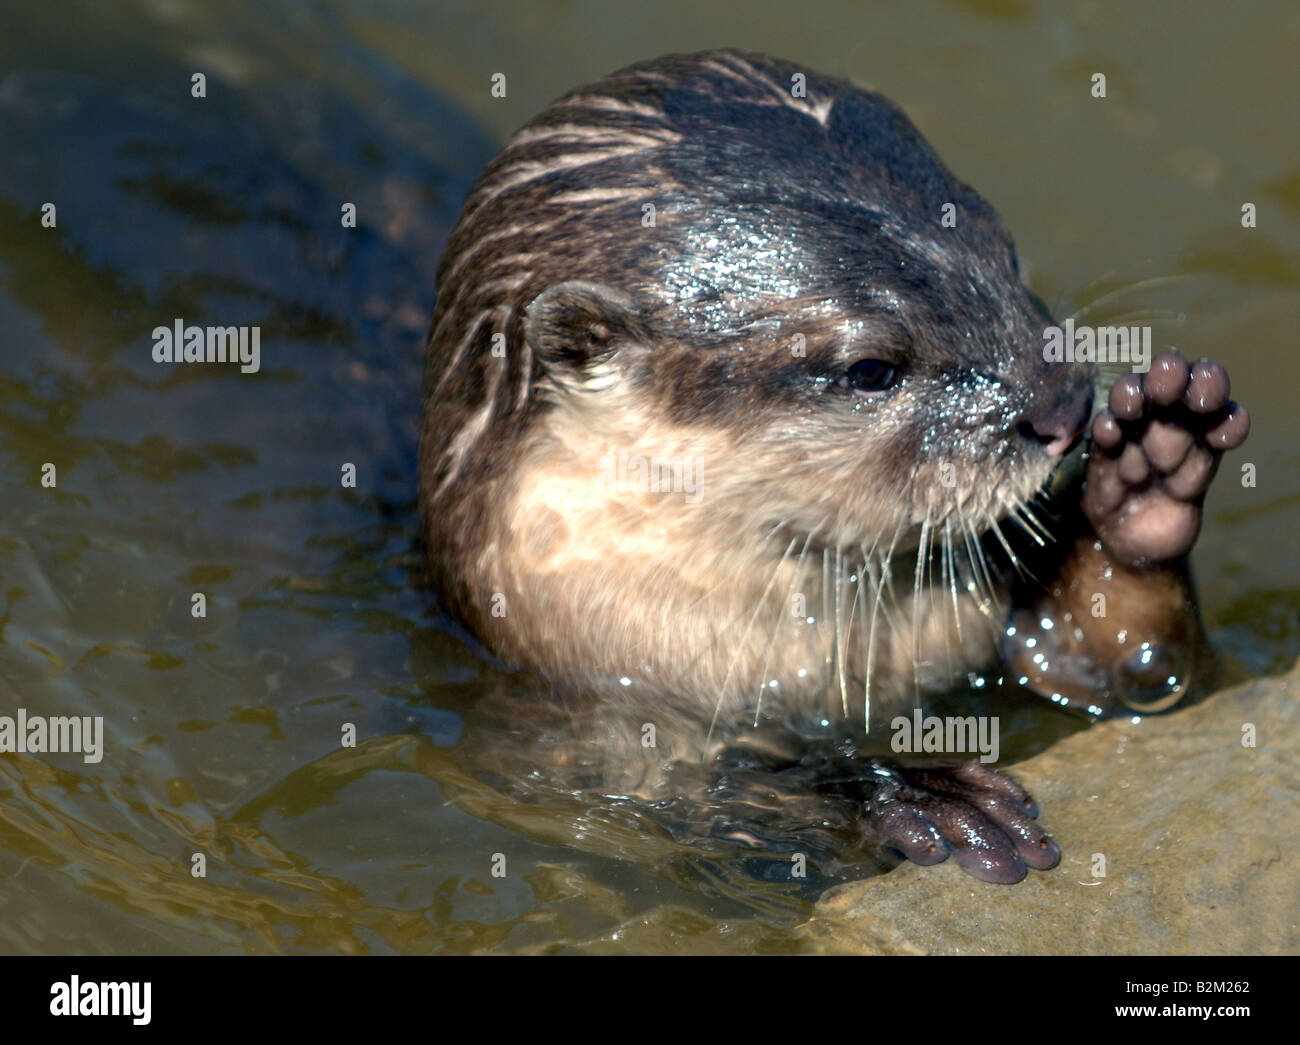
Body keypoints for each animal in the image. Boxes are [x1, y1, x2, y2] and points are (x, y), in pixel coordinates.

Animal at [418, 49, 1250, 883]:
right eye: (871, 369)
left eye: (1006, 252)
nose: (1065, 404)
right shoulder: (558, 732)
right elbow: (680, 804)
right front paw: (913, 791)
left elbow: (1114, 669)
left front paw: (1146, 475)